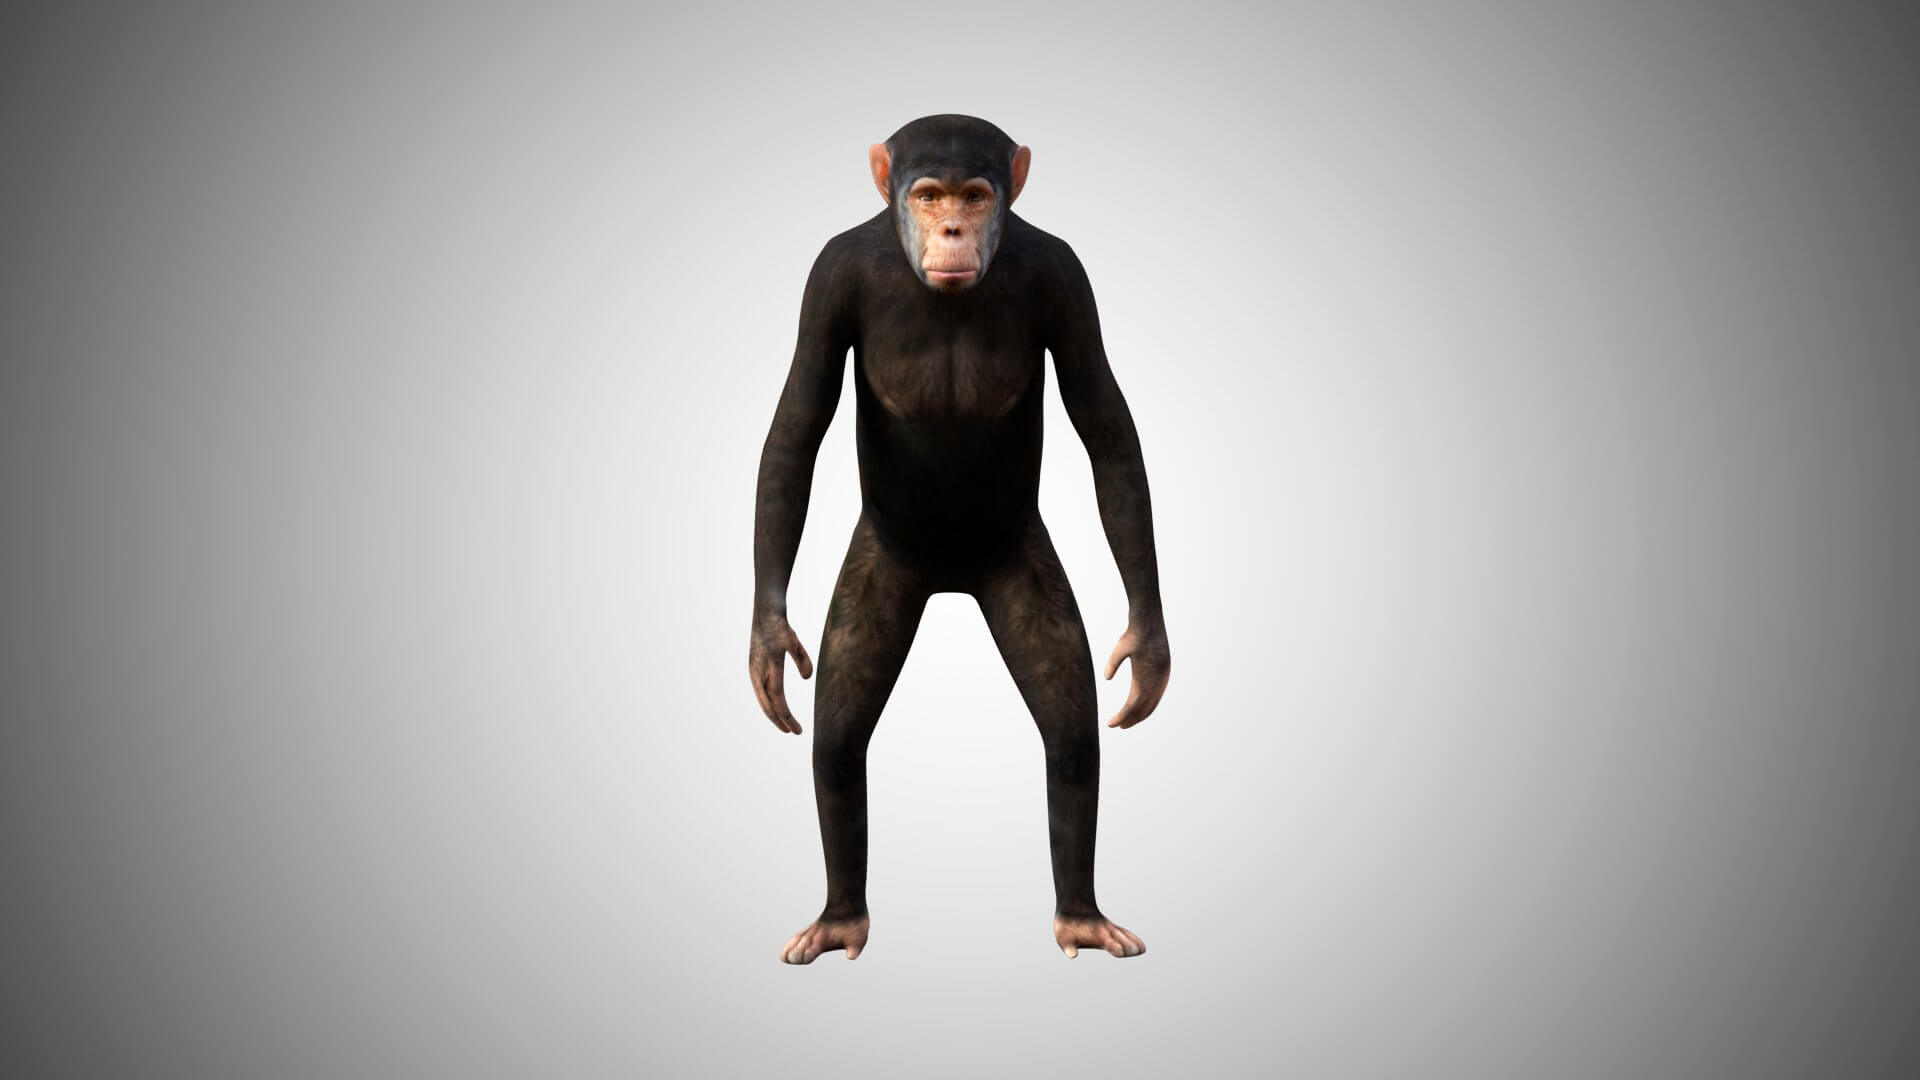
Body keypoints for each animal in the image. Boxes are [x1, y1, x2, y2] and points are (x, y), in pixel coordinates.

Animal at [749, 115, 1171, 964]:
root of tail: (950, 581)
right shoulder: (829, 276)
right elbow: (798, 426)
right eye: (929, 195)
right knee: (838, 739)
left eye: (974, 196)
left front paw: (1148, 647)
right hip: (884, 569)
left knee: (1069, 734)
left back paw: (1079, 911)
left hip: (1018, 567)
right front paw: (769, 642)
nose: (950, 228)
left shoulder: (1067, 278)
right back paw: (840, 915)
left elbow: (1105, 426)